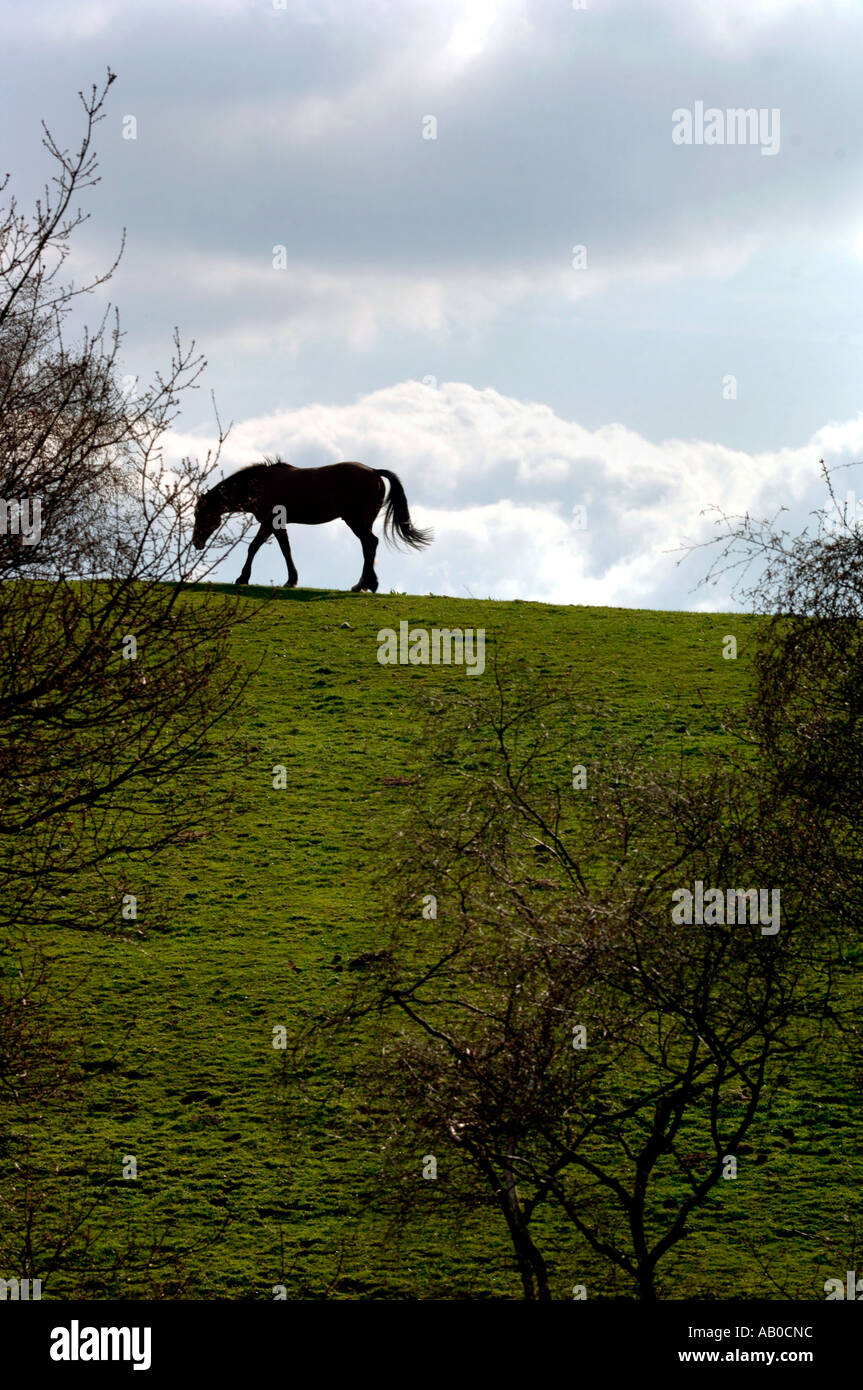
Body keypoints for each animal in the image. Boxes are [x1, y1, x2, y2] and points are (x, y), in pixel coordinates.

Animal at [191, 456, 432, 591]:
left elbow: (258, 548)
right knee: (368, 546)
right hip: (364, 521)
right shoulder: (274, 525)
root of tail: (374, 471)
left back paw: (364, 584)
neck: (259, 484)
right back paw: (366, 584)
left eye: (200, 514)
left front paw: (245, 578)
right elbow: (280, 548)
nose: (196, 543)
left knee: (370, 543)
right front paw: (290, 579)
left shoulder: (271, 523)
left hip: (355, 521)